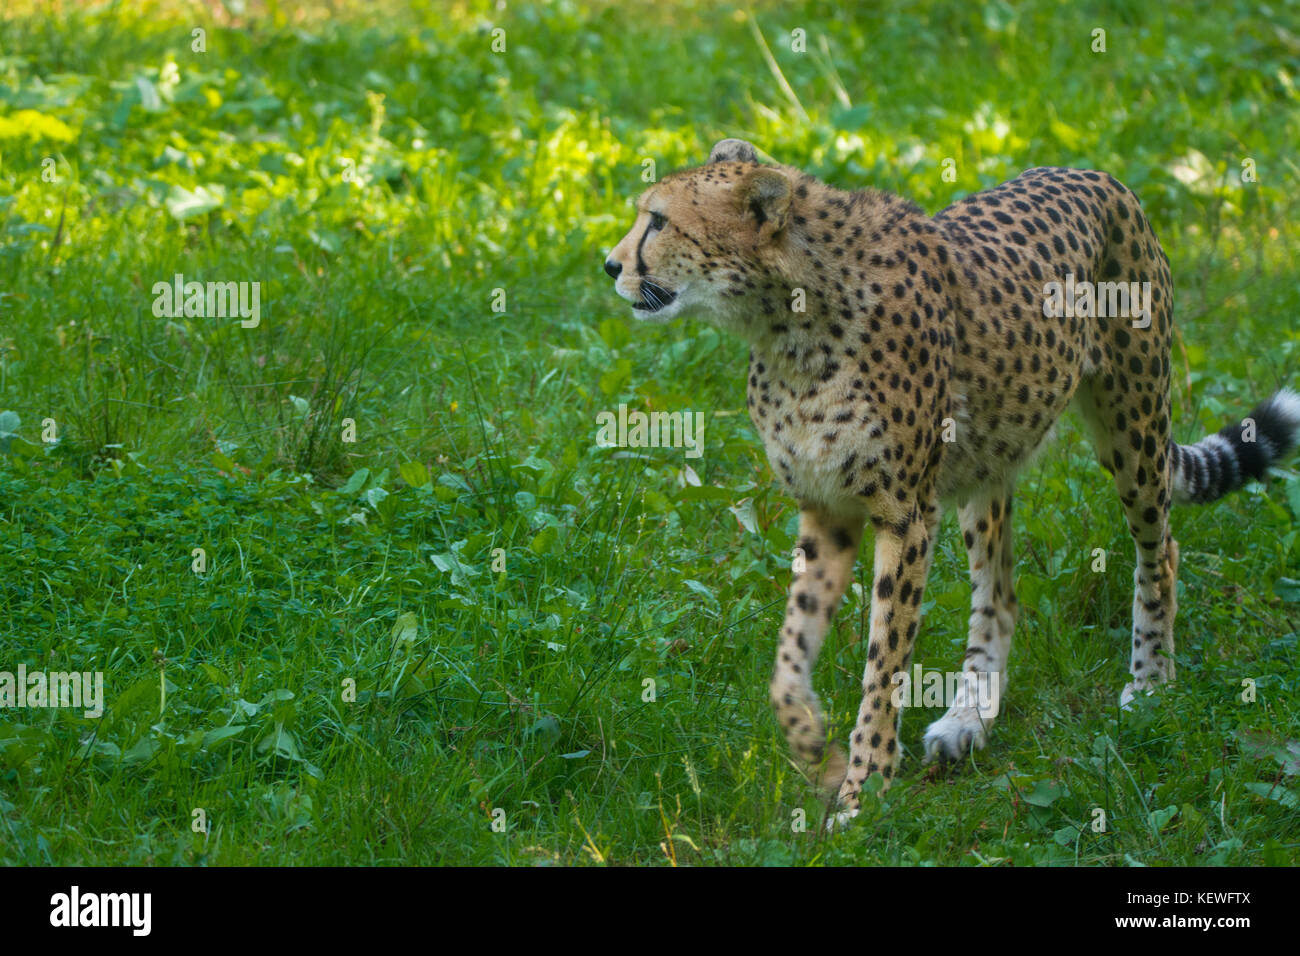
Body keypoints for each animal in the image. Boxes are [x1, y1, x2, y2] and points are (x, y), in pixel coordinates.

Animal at [603, 137, 1300, 827]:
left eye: (658, 221)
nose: (610, 266)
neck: (787, 321)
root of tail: (1094, 172)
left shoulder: (905, 513)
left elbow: (883, 662)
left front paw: (865, 787)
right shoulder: (826, 511)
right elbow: (789, 657)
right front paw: (815, 752)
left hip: (1132, 426)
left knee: (1162, 548)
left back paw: (1151, 678)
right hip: (986, 464)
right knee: (1000, 592)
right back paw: (970, 717)